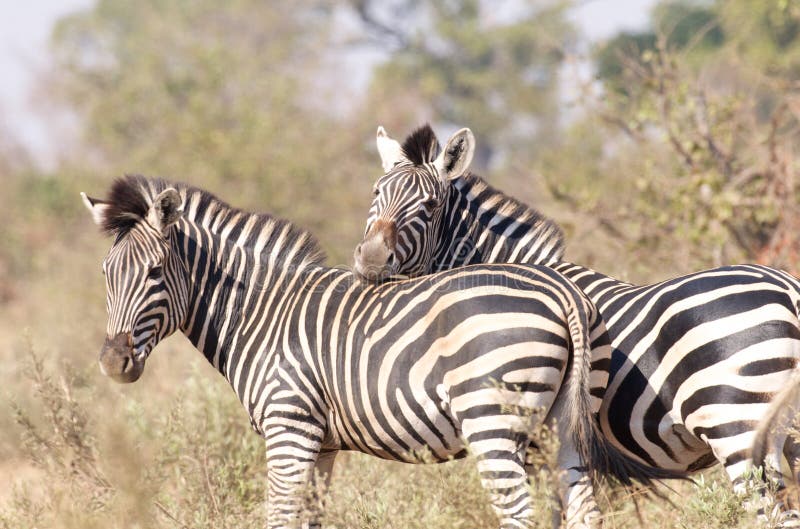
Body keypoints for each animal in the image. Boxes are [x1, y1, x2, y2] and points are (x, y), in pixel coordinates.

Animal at [81, 174, 676, 529]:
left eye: (156, 272)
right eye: (105, 273)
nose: (113, 364)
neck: (263, 309)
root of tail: (562, 290)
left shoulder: (289, 426)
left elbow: (278, 517)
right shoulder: (320, 442)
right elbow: (308, 520)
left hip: (492, 420)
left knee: (520, 514)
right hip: (562, 425)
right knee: (583, 510)